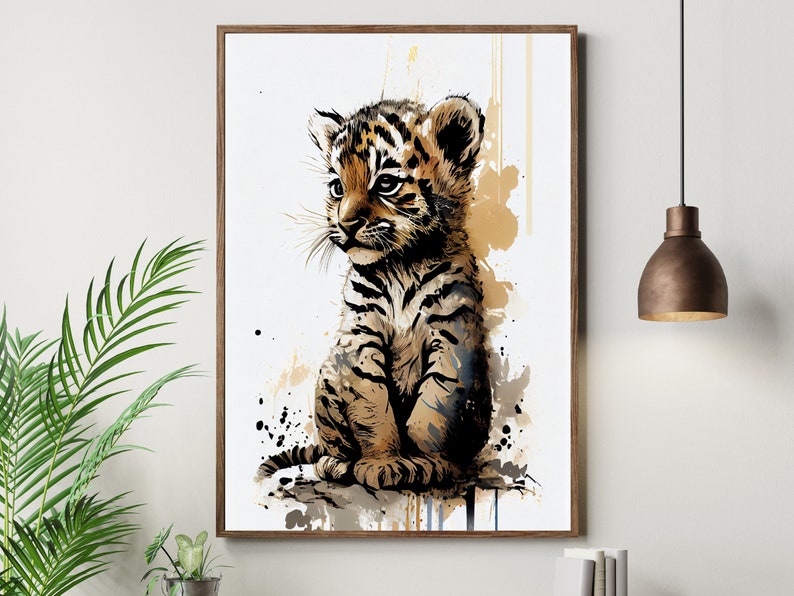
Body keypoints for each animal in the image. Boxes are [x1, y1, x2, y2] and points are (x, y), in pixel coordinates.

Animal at [255, 95, 492, 491]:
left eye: (386, 183)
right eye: (337, 187)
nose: (346, 223)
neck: (401, 266)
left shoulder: (451, 334)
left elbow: (434, 406)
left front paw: (424, 462)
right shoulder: (360, 335)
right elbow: (371, 403)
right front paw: (382, 463)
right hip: (327, 379)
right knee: (330, 444)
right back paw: (336, 464)